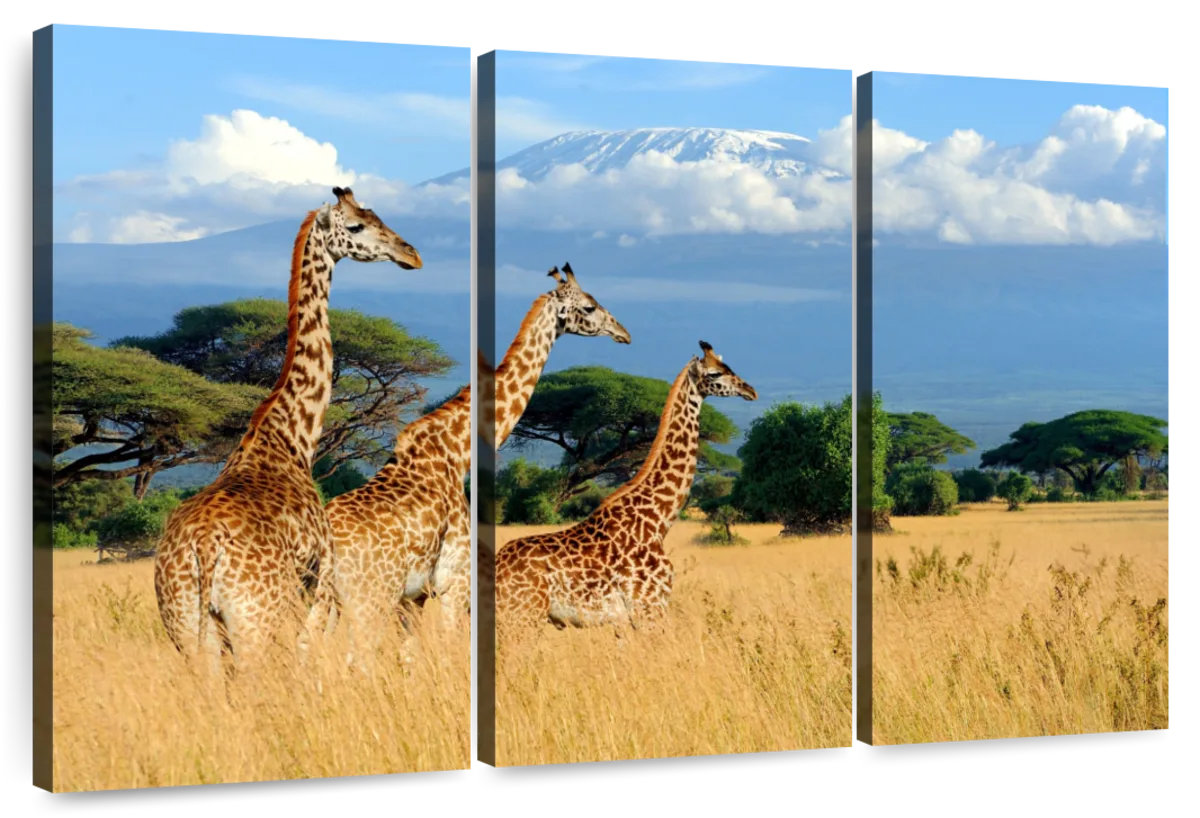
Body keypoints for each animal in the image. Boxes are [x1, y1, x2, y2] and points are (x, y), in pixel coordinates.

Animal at [154, 187, 423, 670]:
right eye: (356, 225)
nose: (411, 254)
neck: (292, 437)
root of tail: (203, 548)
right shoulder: (320, 583)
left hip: (186, 624)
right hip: (254, 620)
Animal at [325, 263, 630, 649]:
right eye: (589, 307)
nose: (623, 333)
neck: (458, 450)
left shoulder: (416, 597)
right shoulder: (453, 584)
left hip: (325, 600)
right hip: (371, 596)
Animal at [495, 340, 757, 632]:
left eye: (728, 366)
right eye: (714, 373)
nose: (750, 390)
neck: (658, 520)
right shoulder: (650, 608)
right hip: (523, 616)